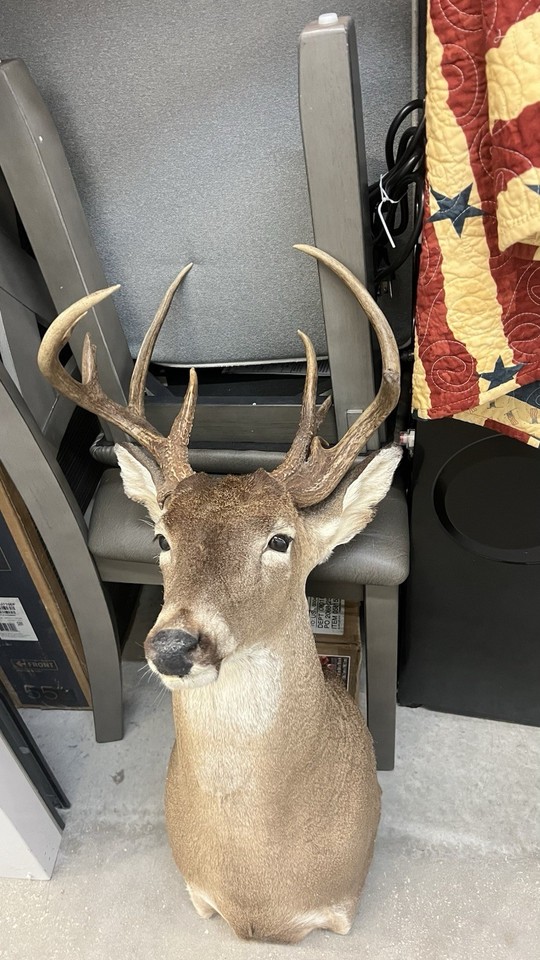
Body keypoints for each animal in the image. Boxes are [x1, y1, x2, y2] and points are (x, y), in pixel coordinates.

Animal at [37, 244, 401, 944]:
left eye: (281, 539)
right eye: (161, 536)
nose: (175, 646)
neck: (259, 893)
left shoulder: (343, 908)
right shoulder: (200, 894)